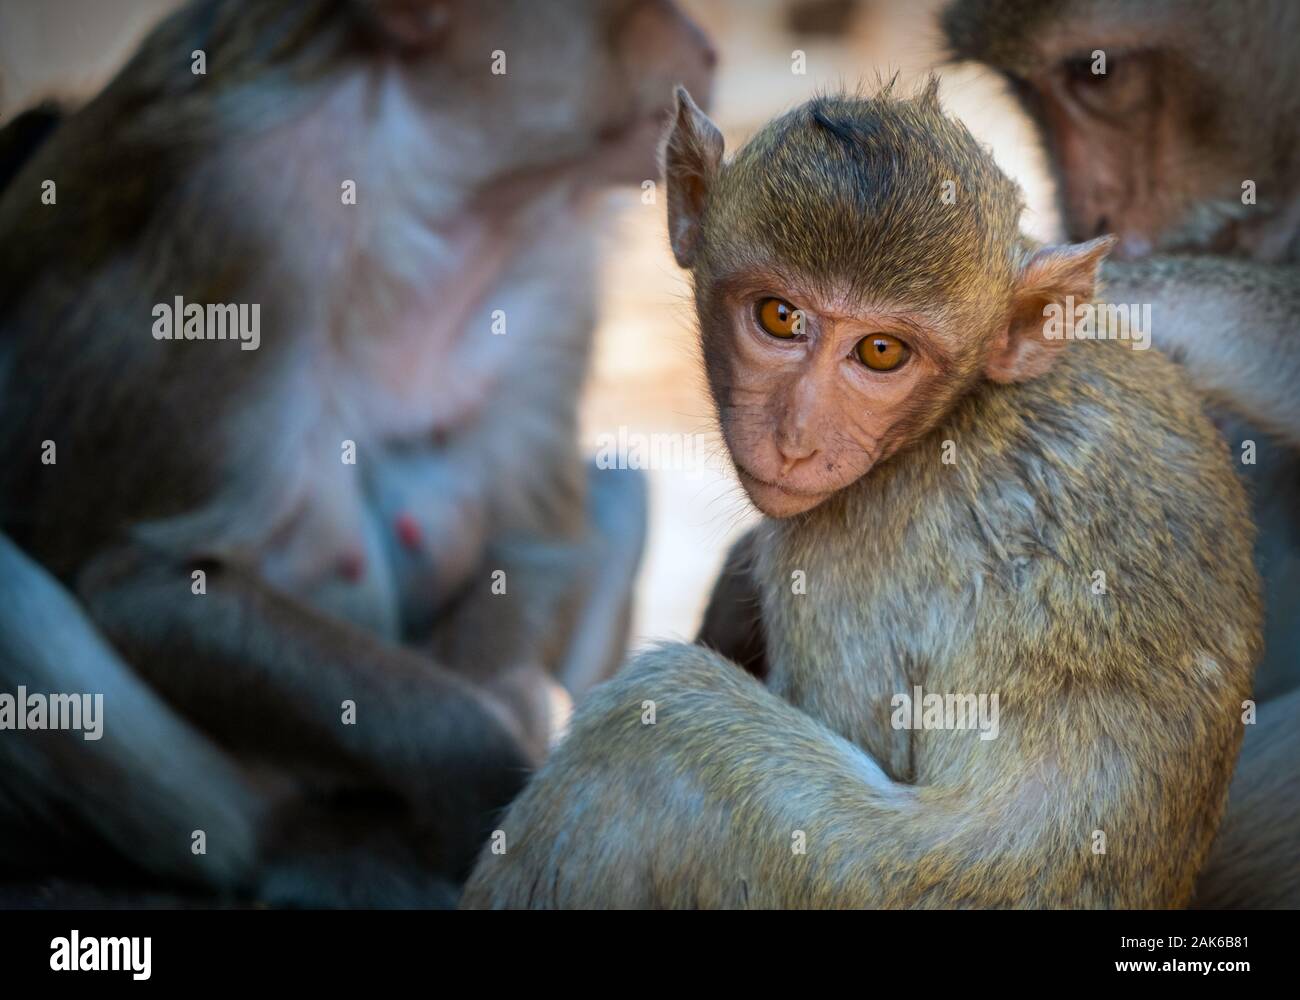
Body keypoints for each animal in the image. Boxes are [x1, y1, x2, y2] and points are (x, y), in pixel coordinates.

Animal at [0, 0, 712, 905]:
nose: (705, 45)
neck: (425, 189)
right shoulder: (241, 218)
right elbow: (149, 578)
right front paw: (483, 767)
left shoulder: (554, 249)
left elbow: (535, 537)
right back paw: (306, 849)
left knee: (617, 489)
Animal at [460, 82, 1262, 909]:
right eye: (780, 317)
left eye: (881, 352)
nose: (796, 439)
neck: (959, 408)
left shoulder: (844, 555)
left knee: (651, 722)